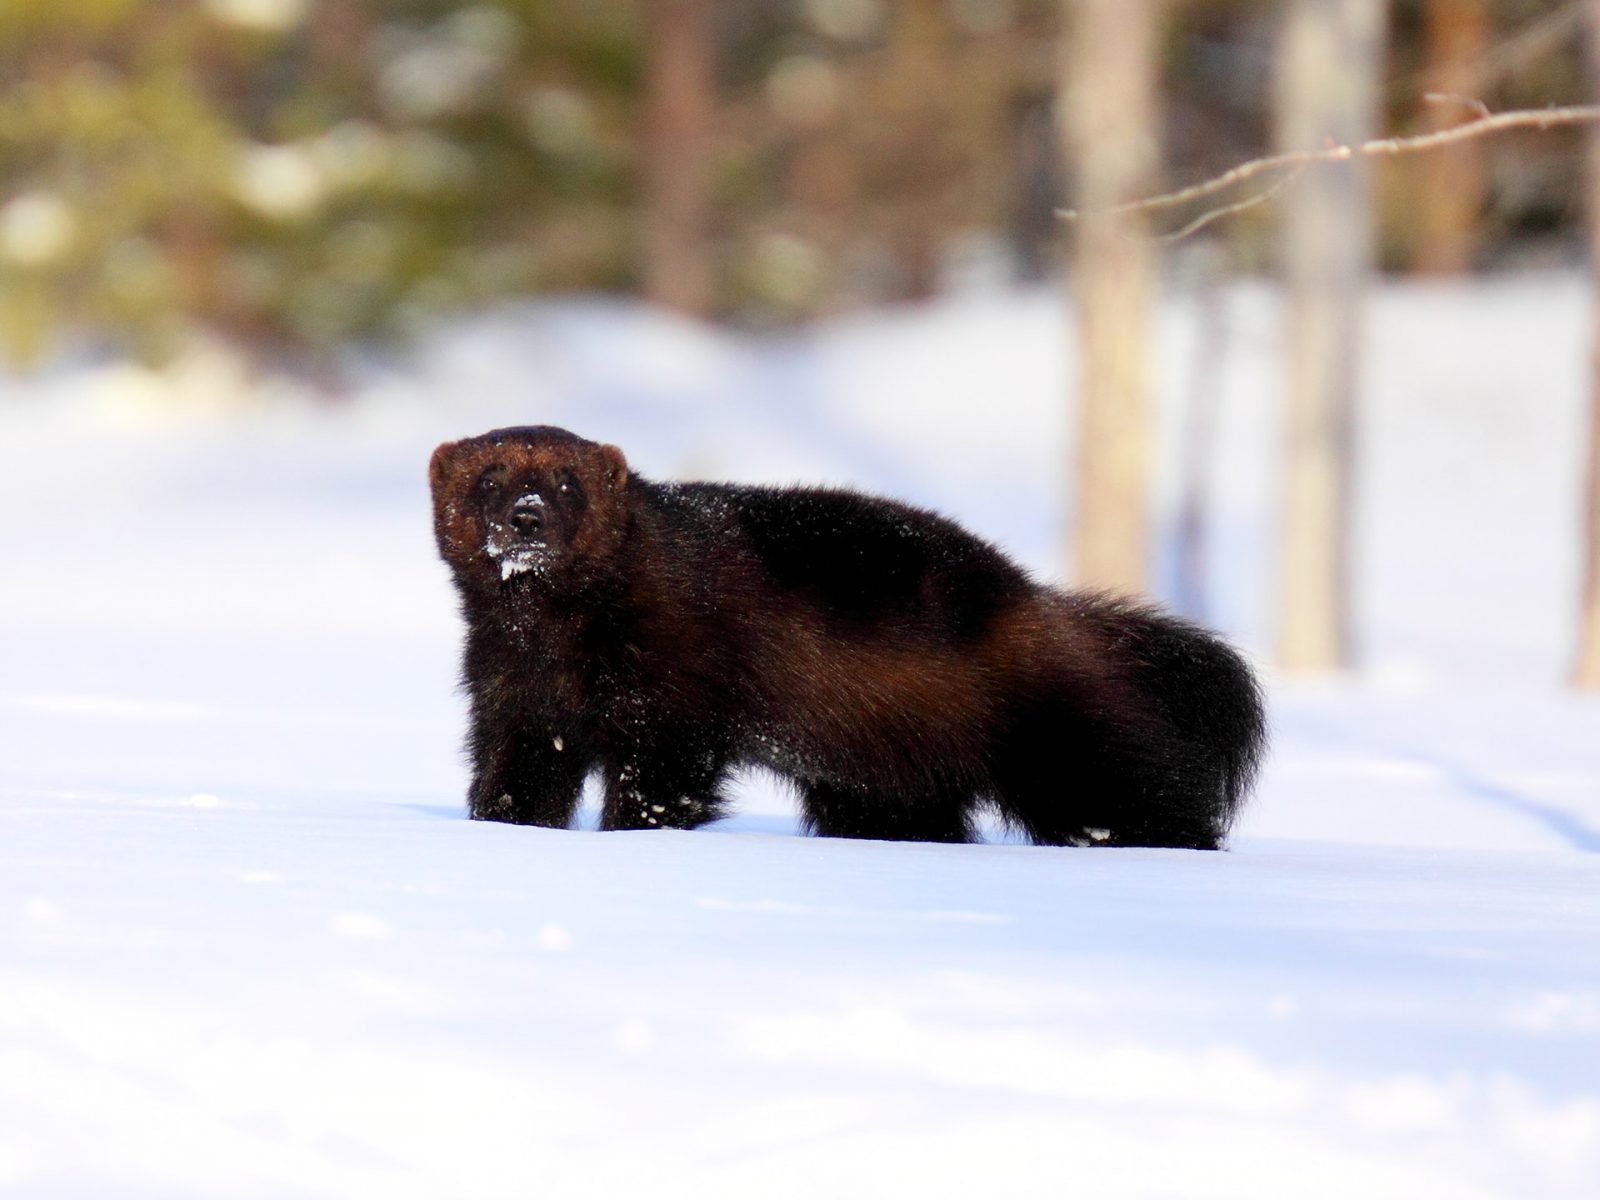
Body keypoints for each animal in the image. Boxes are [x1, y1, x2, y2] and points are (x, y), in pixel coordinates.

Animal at [429, 425, 1266, 849]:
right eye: (490, 477)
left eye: (566, 481)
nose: (527, 517)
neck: (555, 639)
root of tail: (1040, 598)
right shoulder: (510, 693)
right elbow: (515, 774)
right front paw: (505, 827)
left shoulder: (669, 688)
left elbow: (662, 782)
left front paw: (633, 839)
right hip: (882, 772)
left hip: (1050, 726)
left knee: (1128, 783)